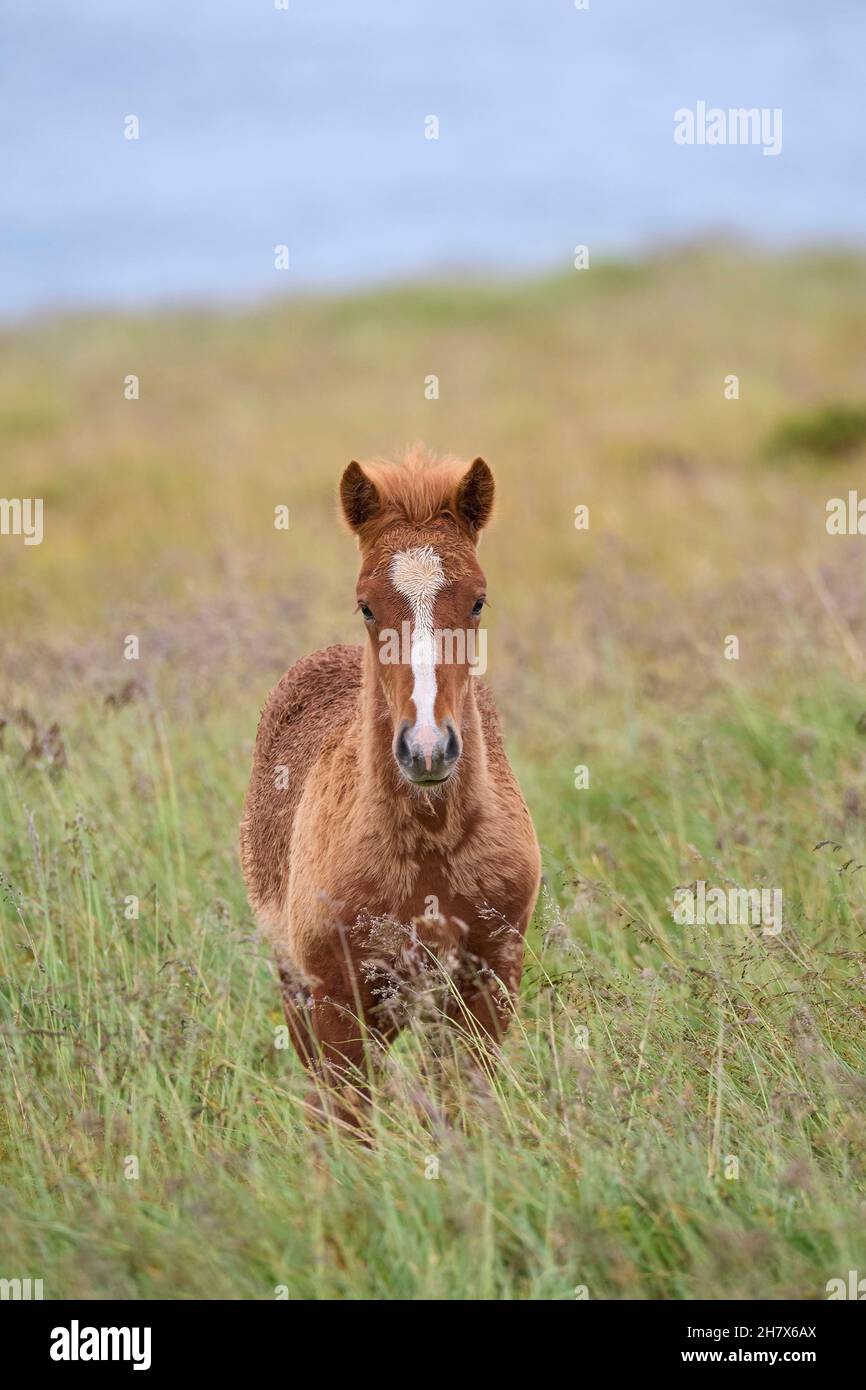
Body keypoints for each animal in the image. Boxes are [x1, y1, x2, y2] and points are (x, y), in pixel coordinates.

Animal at [240, 447, 541, 1118]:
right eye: (367, 605)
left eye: (478, 601)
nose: (427, 748)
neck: (429, 846)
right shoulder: (334, 997)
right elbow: (349, 1118)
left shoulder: (490, 982)